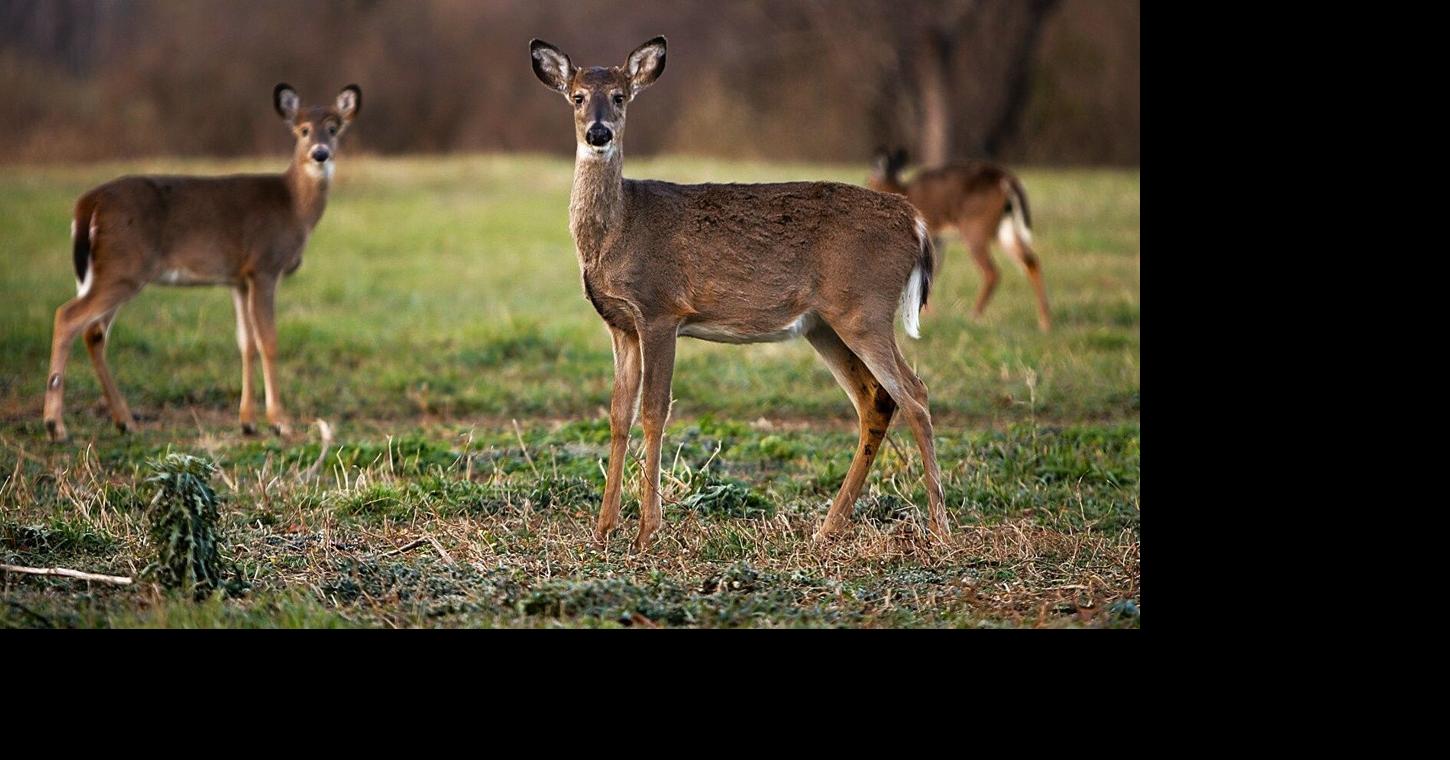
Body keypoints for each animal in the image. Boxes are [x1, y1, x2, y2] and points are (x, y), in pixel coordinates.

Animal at [41, 83, 361, 443]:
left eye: (334, 128)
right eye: (303, 130)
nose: (320, 153)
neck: (293, 206)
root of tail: (87, 203)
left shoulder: (239, 278)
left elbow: (246, 342)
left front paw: (248, 421)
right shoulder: (265, 265)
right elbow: (269, 340)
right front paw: (280, 422)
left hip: (106, 270)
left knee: (93, 332)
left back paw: (125, 421)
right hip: (123, 267)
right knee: (68, 317)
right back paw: (56, 425)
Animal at [530, 36, 949, 551]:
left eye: (620, 96)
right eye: (578, 97)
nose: (599, 133)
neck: (618, 230)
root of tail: (916, 223)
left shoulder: (660, 309)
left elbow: (654, 412)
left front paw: (648, 529)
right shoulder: (620, 325)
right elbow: (617, 414)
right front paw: (604, 527)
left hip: (865, 308)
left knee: (915, 393)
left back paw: (940, 525)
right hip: (826, 324)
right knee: (876, 400)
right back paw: (828, 527)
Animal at [868, 148, 1051, 331]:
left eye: (870, 180)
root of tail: (1007, 180)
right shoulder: (938, 240)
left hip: (975, 227)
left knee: (992, 272)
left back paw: (973, 316)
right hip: (1005, 228)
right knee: (1031, 261)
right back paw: (1044, 323)